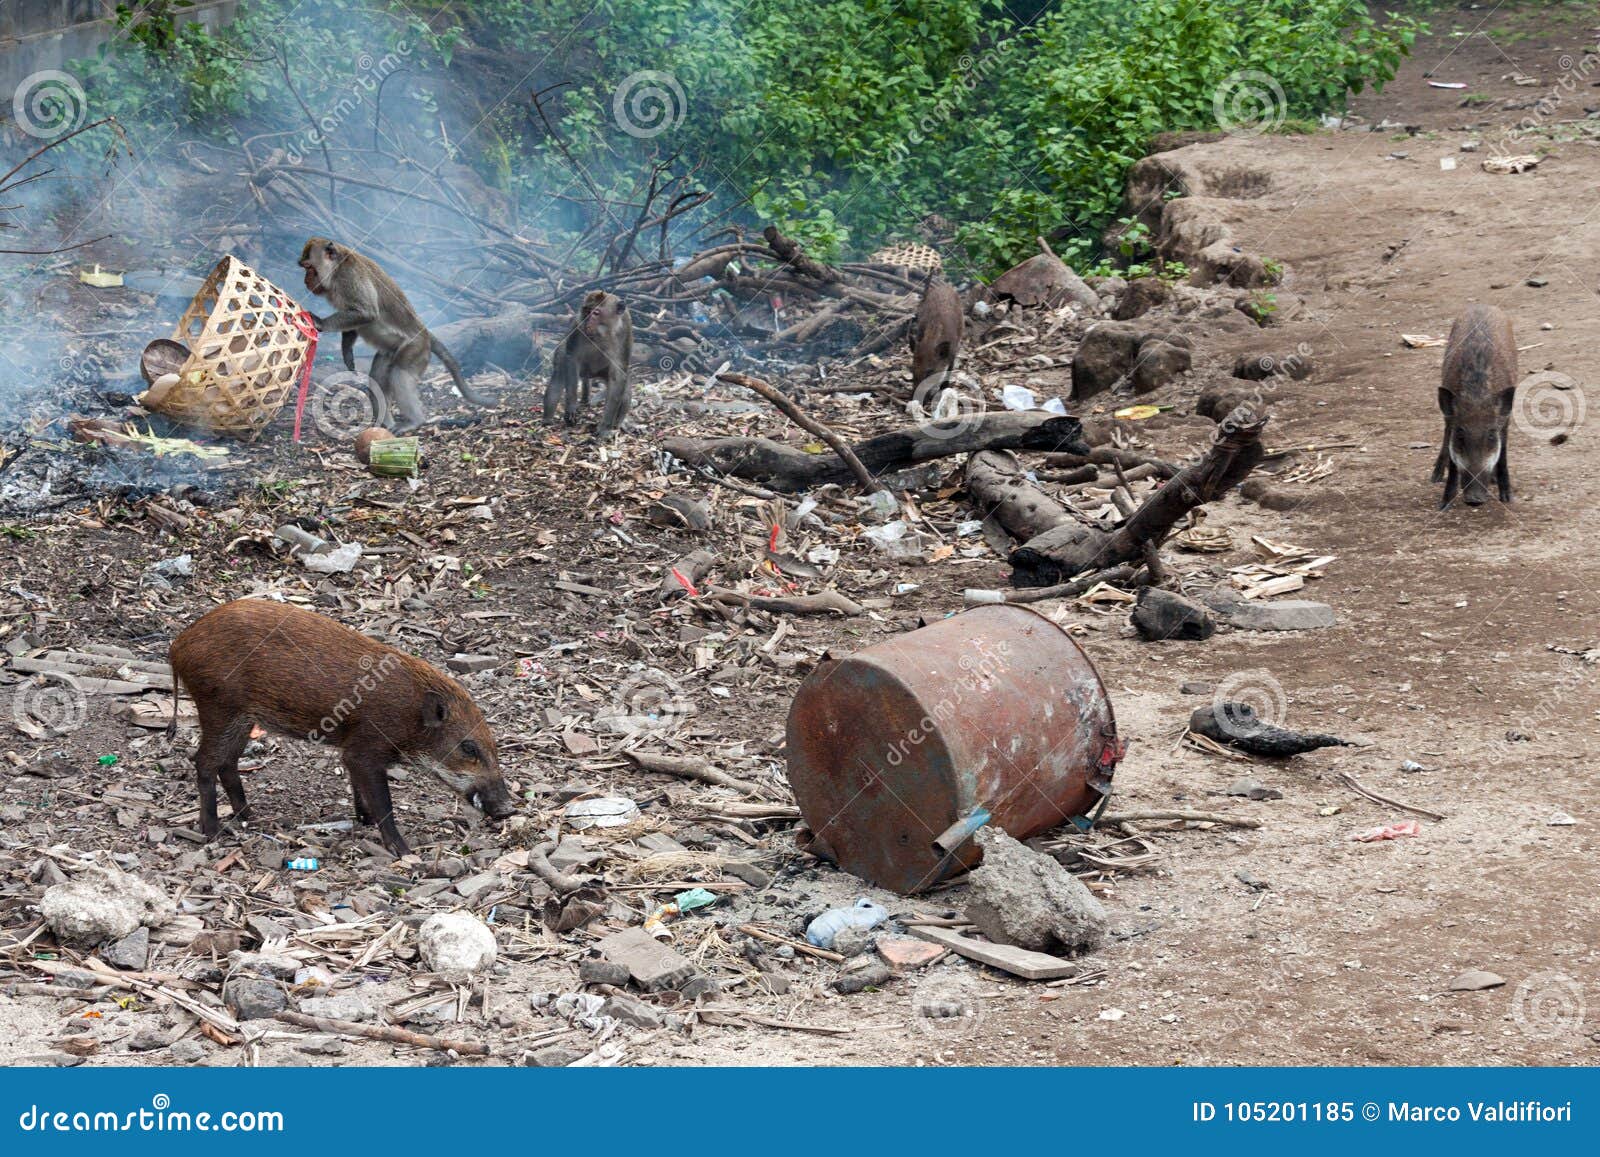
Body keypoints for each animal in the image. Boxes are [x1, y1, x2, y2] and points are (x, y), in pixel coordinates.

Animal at [169, 600, 516, 855]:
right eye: (468, 747)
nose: (508, 810)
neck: (412, 717)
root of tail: (177, 648)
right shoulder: (365, 748)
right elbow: (382, 801)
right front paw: (403, 852)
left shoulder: (353, 749)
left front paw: (364, 821)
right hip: (219, 708)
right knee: (203, 761)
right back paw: (212, 832)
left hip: (243, 718)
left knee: (228, 762)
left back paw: (250, 817)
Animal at [1433, 303, 1516, 508]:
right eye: (1460, 435)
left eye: (1491, 435)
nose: (1474, 499)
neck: (1476, 397)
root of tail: (1482, 305)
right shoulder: (1454, 424)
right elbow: (1453, 463)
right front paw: (1444, 505)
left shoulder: (1504, 421)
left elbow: (1503, 456)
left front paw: (1507, 499)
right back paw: (1435, 477)